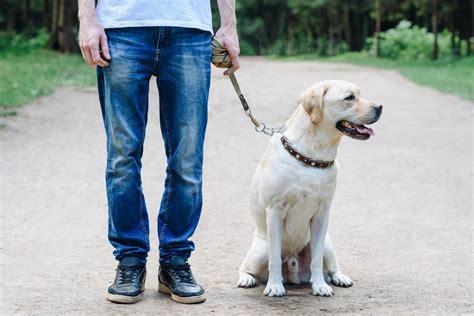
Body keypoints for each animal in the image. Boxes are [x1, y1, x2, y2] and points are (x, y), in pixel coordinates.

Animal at [237, 79, 382, 296]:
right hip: (260, 250)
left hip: (328, 244)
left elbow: (316, 260)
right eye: (349, 97)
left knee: (330, 265)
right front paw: (275, 286)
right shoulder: (275, 211)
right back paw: (247, 278)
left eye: (360, 94)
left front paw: (320, 285)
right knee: (247, 266)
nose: (380, 107)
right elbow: (274, 258)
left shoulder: (322, 214)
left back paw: (339, 277)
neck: (312, 157)